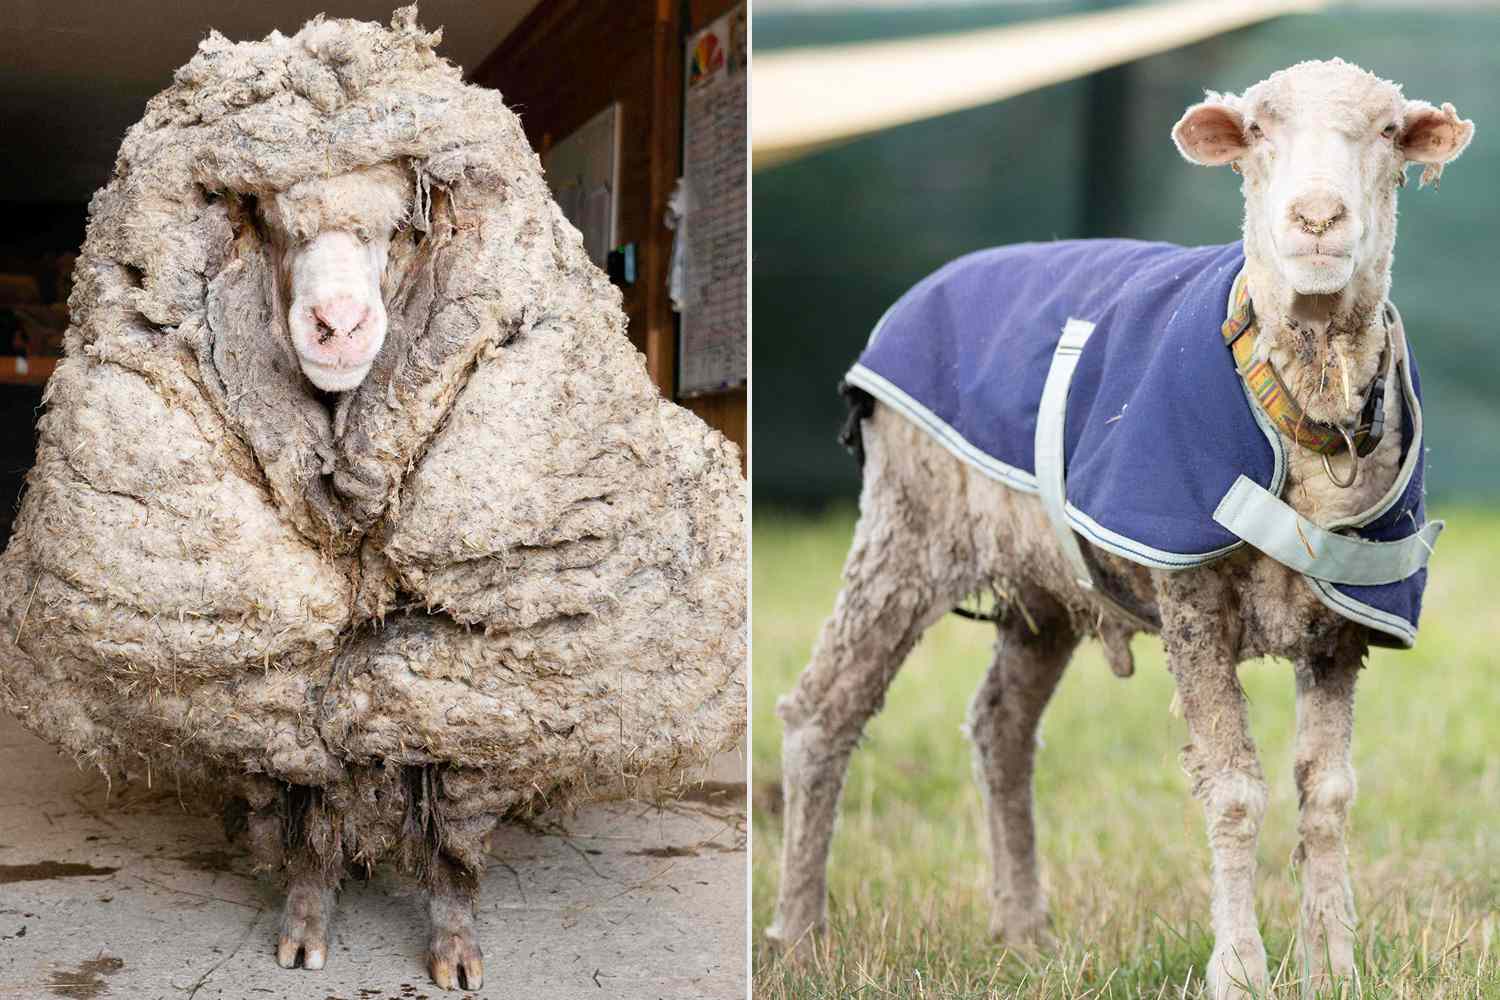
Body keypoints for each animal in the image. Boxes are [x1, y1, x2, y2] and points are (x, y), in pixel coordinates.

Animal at [0, 9, 745, 992]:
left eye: (398, 231)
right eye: (274, 225)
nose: (338, 325)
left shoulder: (470, 675)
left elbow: (454, 820)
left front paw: (455, 943)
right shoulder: (281, 675)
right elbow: (307, 800)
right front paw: (306, 922)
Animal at [766, 60, 1470, 999]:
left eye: (1390, 132)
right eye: (1256, 129)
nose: (1318, 219)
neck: (1303, 400)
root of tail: (932, 285)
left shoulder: (1341, 627)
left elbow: (1327, 794)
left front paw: (1334, 967)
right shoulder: (1191, 596)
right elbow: (1235, 790)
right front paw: (1239, 969)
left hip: (1041, 587)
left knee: (1001, 727)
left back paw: (1024, 931)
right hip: (906, 528)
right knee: (824, 711)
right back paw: (800, 934)